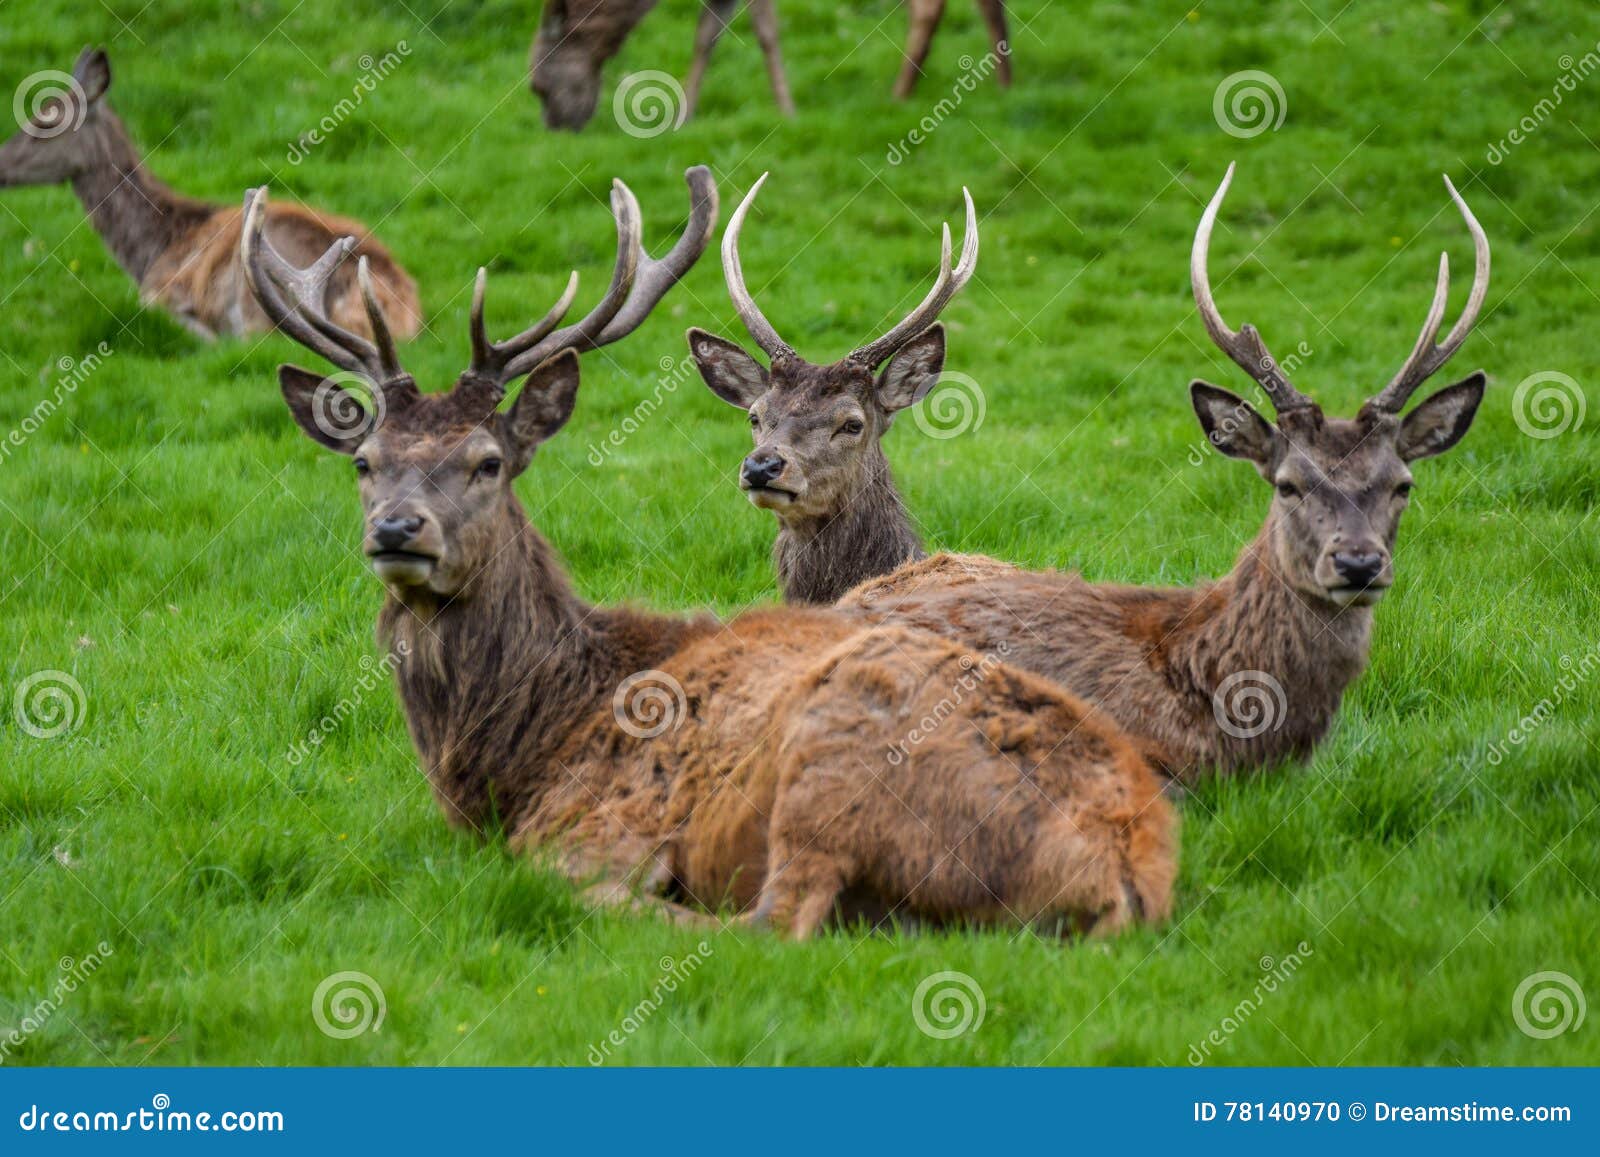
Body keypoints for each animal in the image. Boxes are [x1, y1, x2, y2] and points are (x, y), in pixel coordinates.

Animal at [531, 0, 793, 131]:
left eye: (538, 87)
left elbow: (766, 32)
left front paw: (786, 109)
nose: (555, 129)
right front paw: (684, 115)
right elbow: (706, 35)